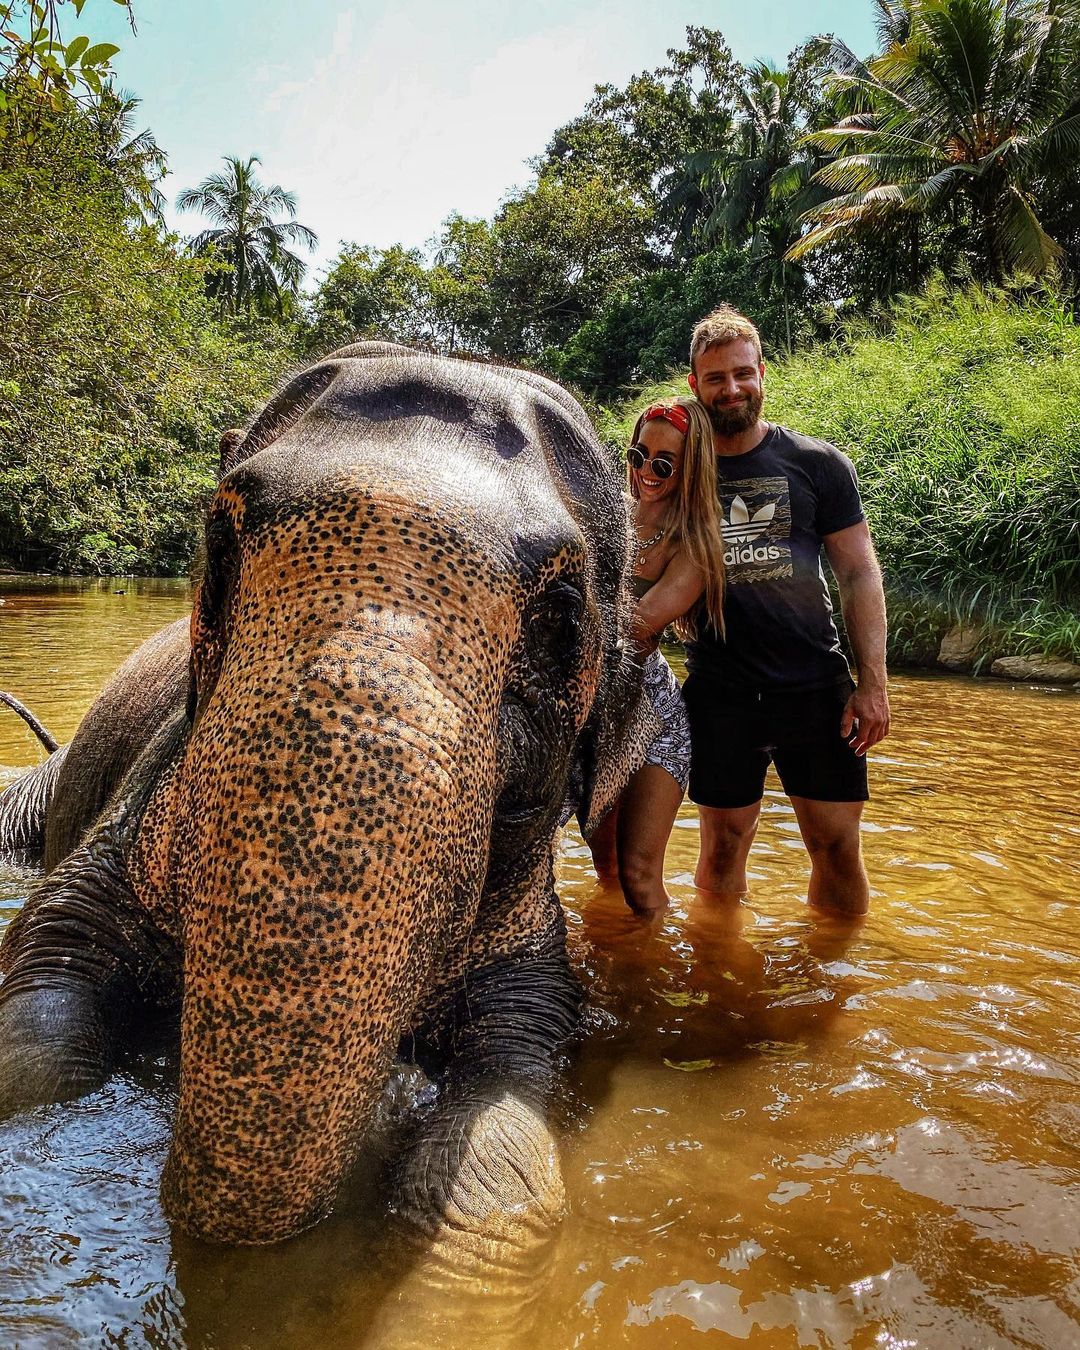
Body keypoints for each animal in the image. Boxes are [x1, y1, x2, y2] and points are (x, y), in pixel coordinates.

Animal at [0, 344, 657, 1258]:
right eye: (221, 539)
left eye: (561, 618)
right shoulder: (131, 821)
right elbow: (42, 1002)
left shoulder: (538, 965)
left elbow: (506, 1111)